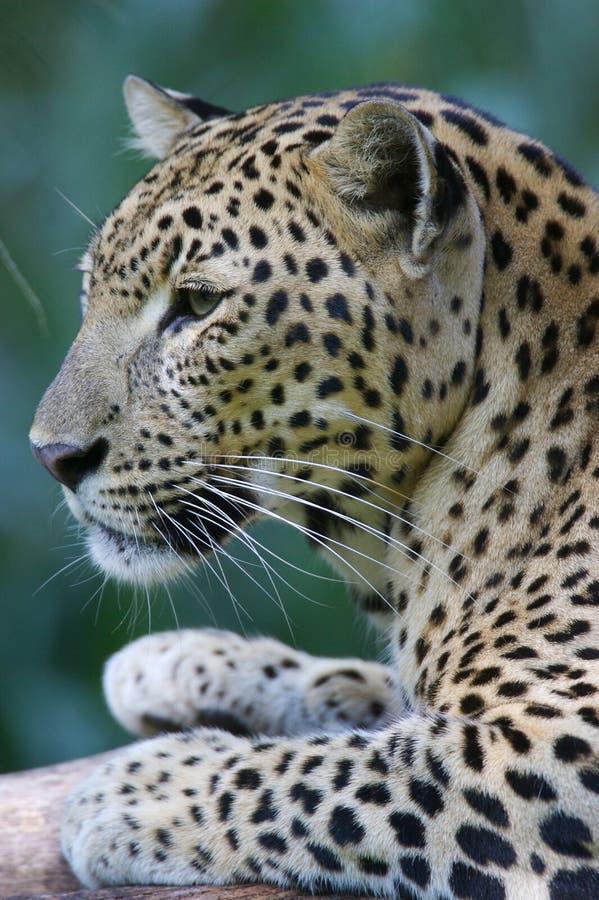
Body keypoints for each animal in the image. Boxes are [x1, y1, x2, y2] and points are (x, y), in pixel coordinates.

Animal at [29, 76, 598, 898]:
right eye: (87, 291)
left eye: (197, 305)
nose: (52, 456)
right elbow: (367, 697)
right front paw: (181, 663)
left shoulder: (556, 743)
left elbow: (341, 772)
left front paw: (138, 792)